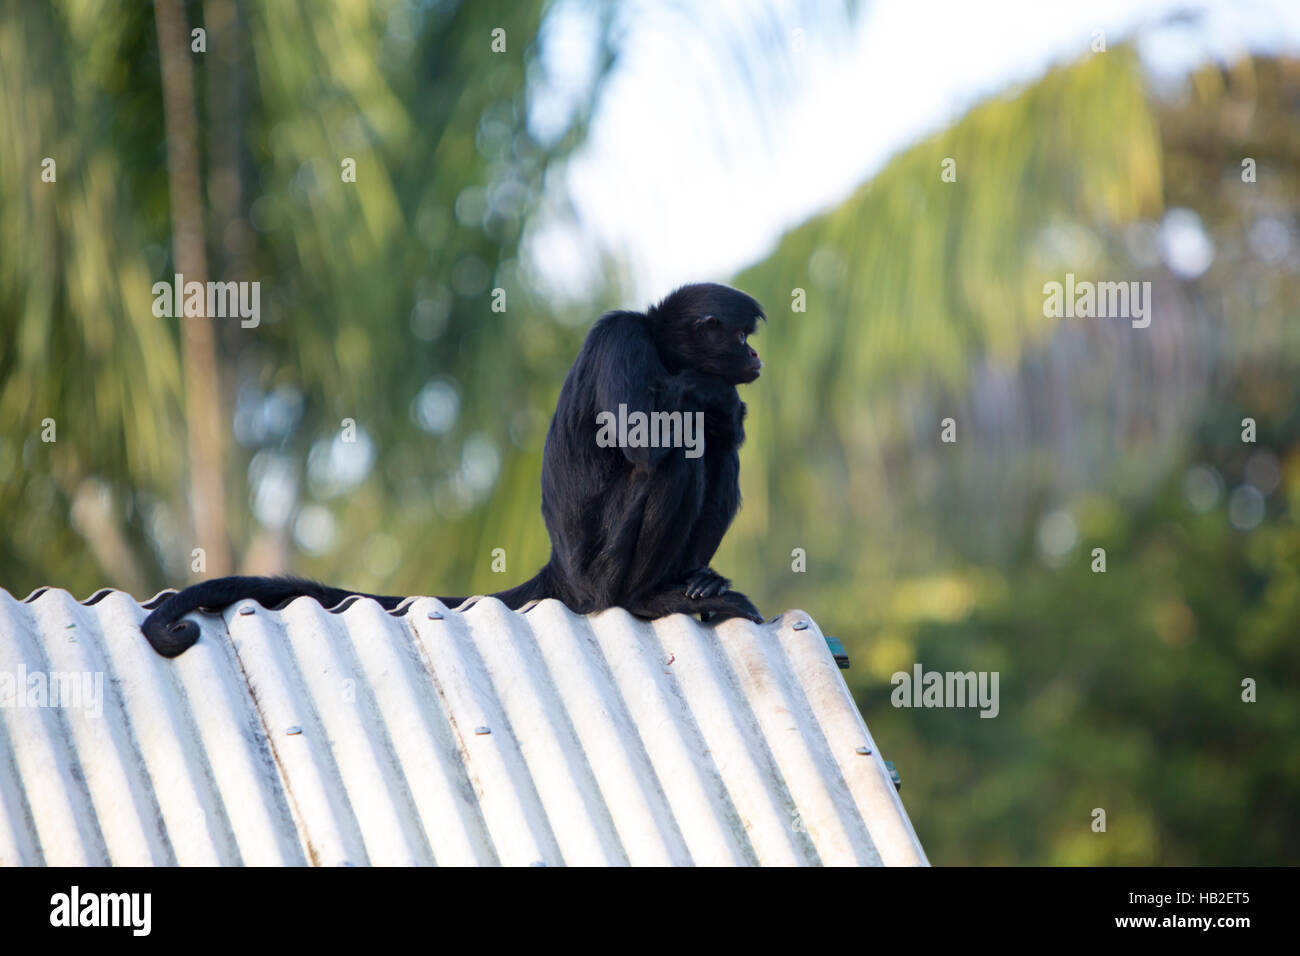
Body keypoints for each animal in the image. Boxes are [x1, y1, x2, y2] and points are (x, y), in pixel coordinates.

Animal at [142, 282, 765, 657]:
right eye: (741, 337)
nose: (755, 357)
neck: (661, 350)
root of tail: (564, 570)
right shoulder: (623, 338)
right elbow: (646, 438)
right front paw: (711, 391)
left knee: (716, 448)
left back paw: (695, 581)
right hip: (604, 566)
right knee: (680, 453)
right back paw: (645, 596)